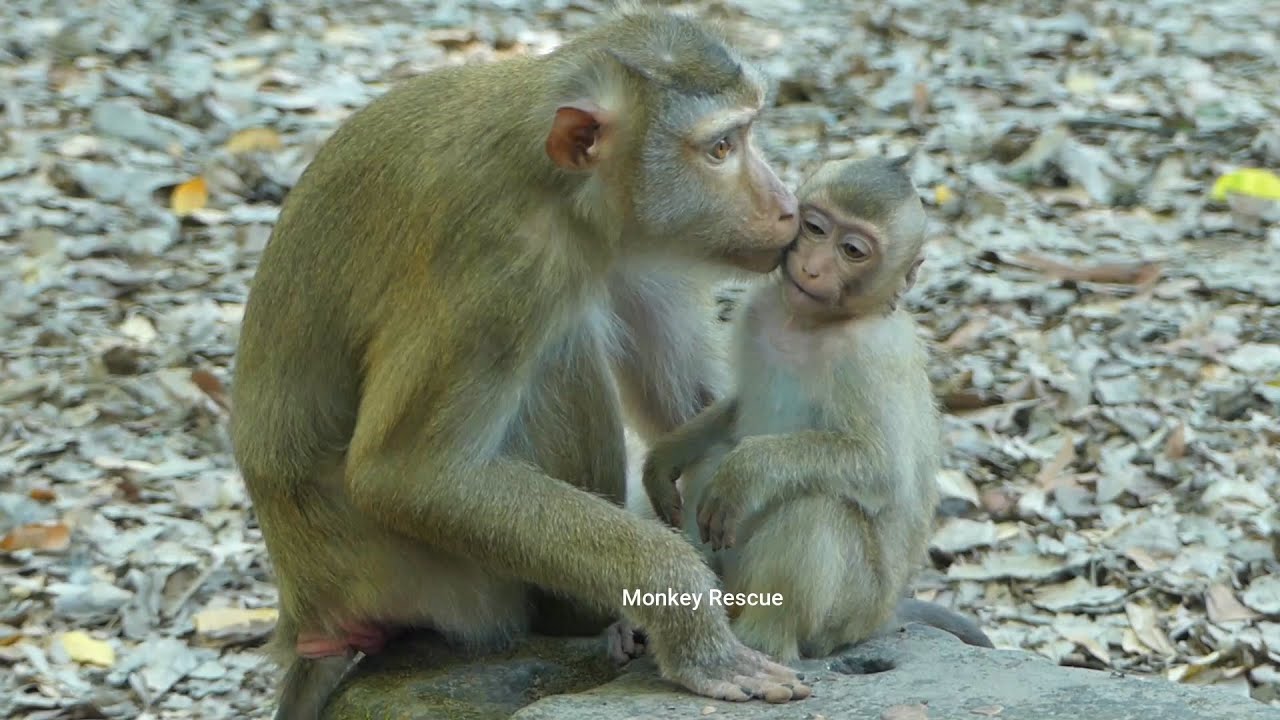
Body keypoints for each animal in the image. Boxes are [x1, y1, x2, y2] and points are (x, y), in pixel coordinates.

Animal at [229, 8, 814, 718]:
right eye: (721, 149)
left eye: (746, 133)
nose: (788, 207)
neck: (562, 193)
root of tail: (306, 608)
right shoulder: (501, 264)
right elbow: (408, 475)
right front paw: (689, 618)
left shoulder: (640, 244)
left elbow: (687, 411)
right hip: (431, 582)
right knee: (564, 356)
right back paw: (591, 621)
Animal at [637, 155, 992, 663]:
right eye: (815, 228)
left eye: (853, 250)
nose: (813, 266)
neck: (809, 325)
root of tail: (884, 617)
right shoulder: (759, 309)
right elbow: (736, 411)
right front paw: (664, 458)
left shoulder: (870, 357)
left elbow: (882, 469)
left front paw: (748, 470)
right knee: (712, 463)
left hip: (851, 613)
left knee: (816, 504)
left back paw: (763, 639)